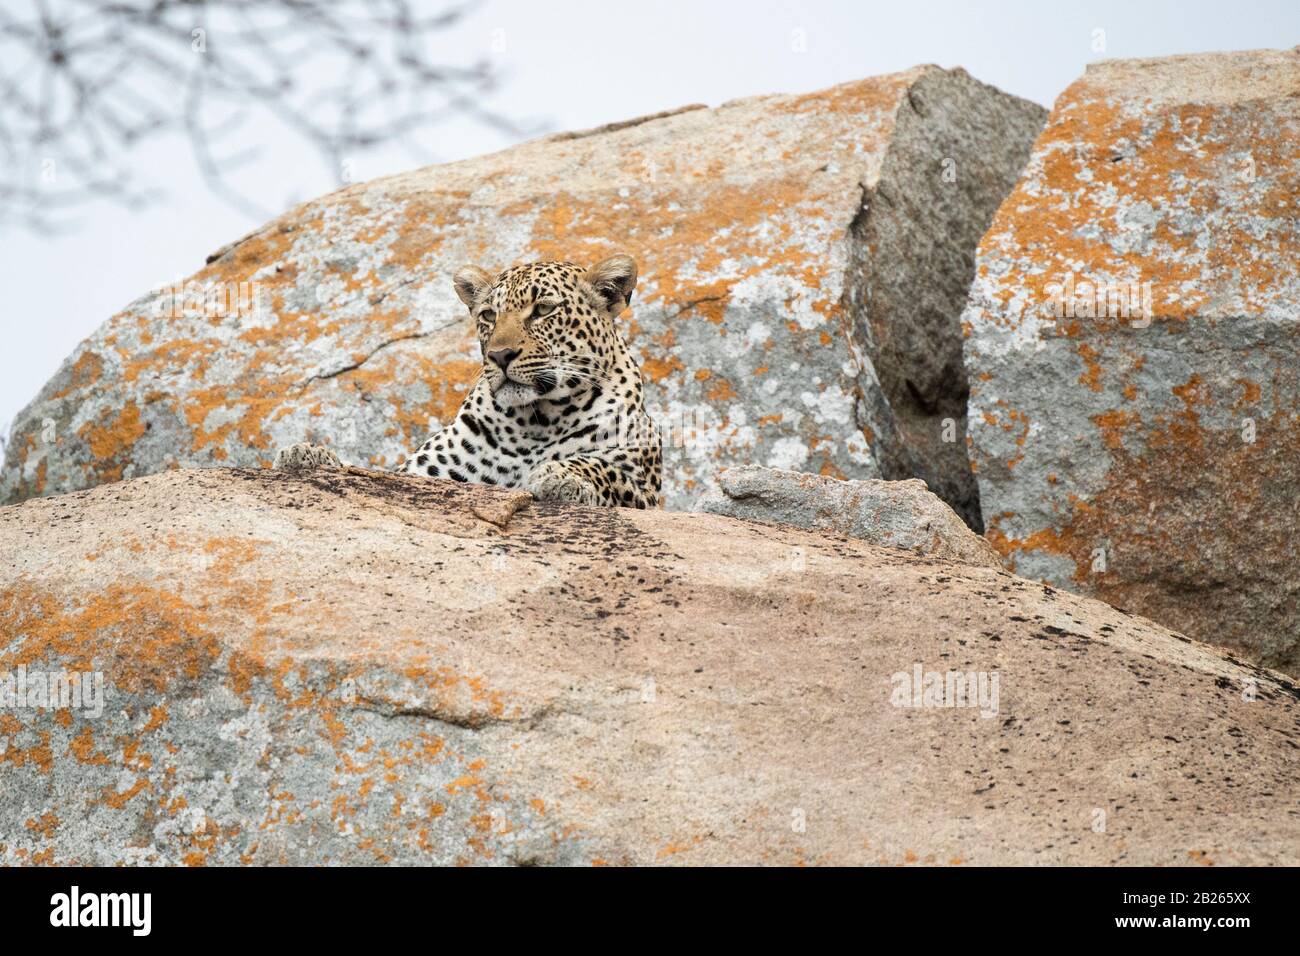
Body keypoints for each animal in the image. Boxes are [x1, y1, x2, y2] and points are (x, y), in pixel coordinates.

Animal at [274, 254, 663, 508]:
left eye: (543, 310)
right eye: (489, 315)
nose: (500, 355)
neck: (537, 420)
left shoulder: (646, 487)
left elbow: (604, 467)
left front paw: (561, 476)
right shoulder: (426, 473)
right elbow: (374, 473)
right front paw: (308, 455)